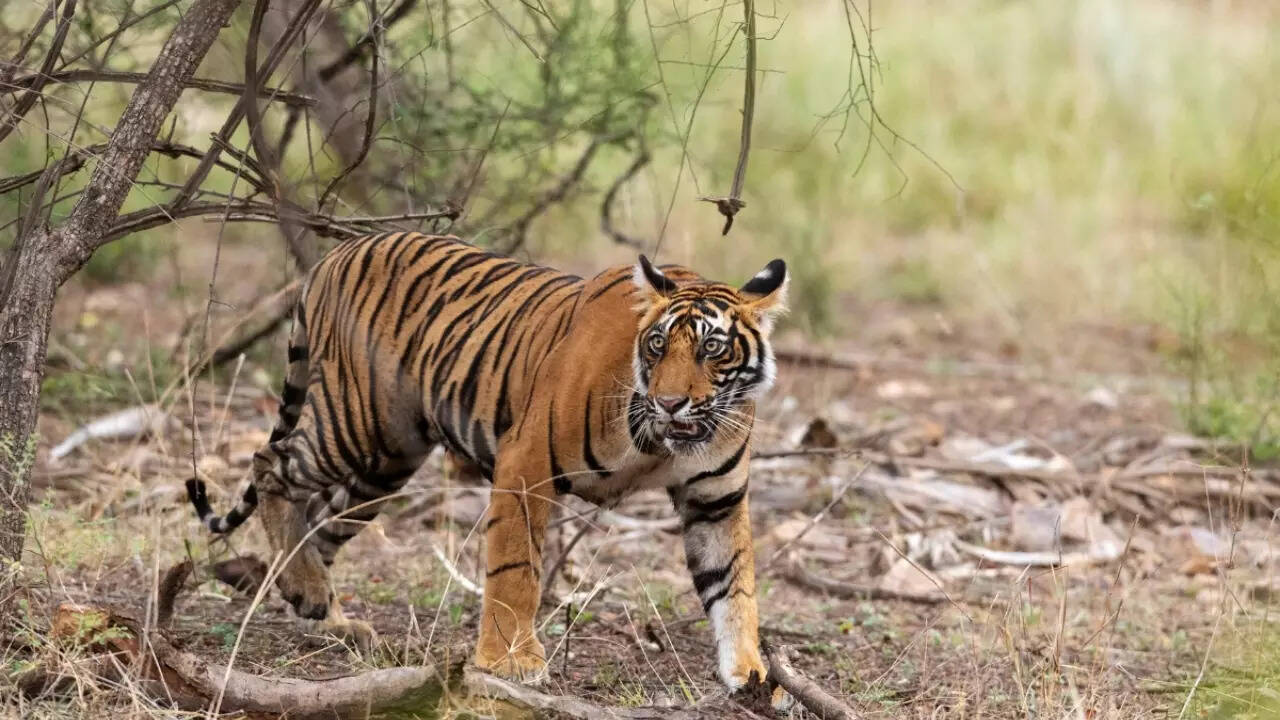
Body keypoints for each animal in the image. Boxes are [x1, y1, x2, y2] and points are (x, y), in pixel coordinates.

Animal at [185, 232, 789, 704]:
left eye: (712, 350)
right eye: (659, 345)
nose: (669, 403)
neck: (664, 445)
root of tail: (337, 252)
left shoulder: (716, 500)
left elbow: (734, 587)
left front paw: (752, 674)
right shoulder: (527, 464)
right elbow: (515, 571)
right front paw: (509, 662)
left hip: (385, 463)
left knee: (319, 518)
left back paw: (322, 612)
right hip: (353, 422)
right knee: (270, 464)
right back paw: (307, 588)